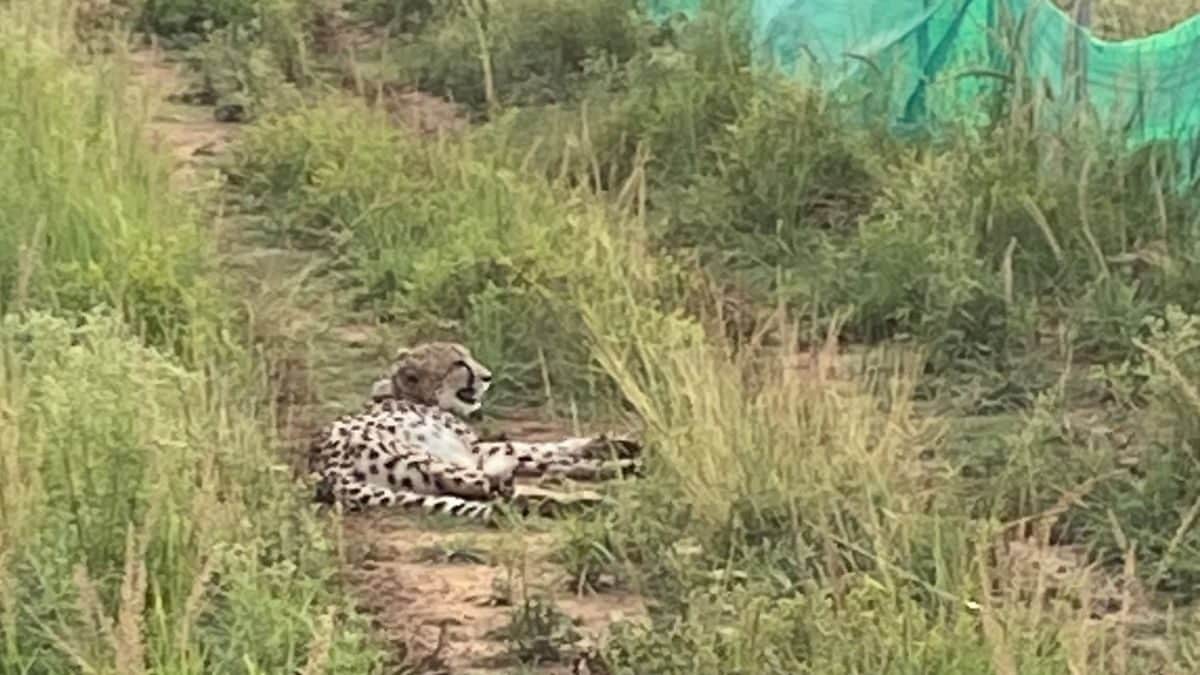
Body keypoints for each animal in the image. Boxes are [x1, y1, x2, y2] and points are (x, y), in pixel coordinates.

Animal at [307, 341, 641, 522]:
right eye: (459, 363)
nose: (488, 376)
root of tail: (326, 471)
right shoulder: (478, 449)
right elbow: (538, 451)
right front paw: (617, 461)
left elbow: (552, 449)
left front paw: (613, 445)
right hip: (429, 459)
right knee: (494, 484)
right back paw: (585, 498)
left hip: (423, 482)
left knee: (498, 494)